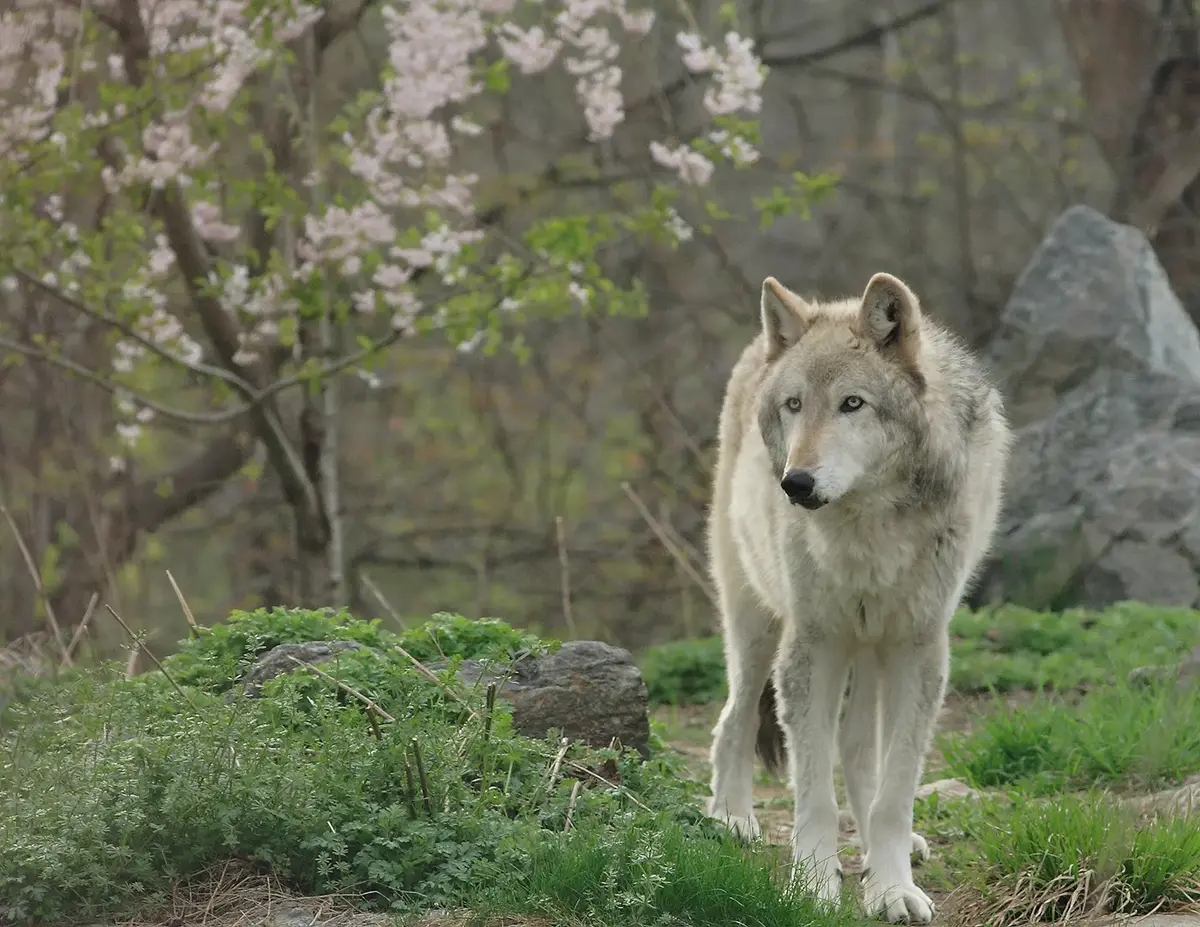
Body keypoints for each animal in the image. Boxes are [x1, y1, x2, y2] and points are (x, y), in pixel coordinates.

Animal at [705, 273, 1010, 923]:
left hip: (871, 644)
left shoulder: (918, 647)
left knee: (857, 746)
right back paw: (731, 818)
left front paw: (890, 887)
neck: (869, 526)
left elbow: (894, 791)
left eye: (853, 404)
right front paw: (813, 885)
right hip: (757, 623)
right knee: (734, 718)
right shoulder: (812, 647)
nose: (796, 484)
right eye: (794, 405)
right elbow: (814, 792)